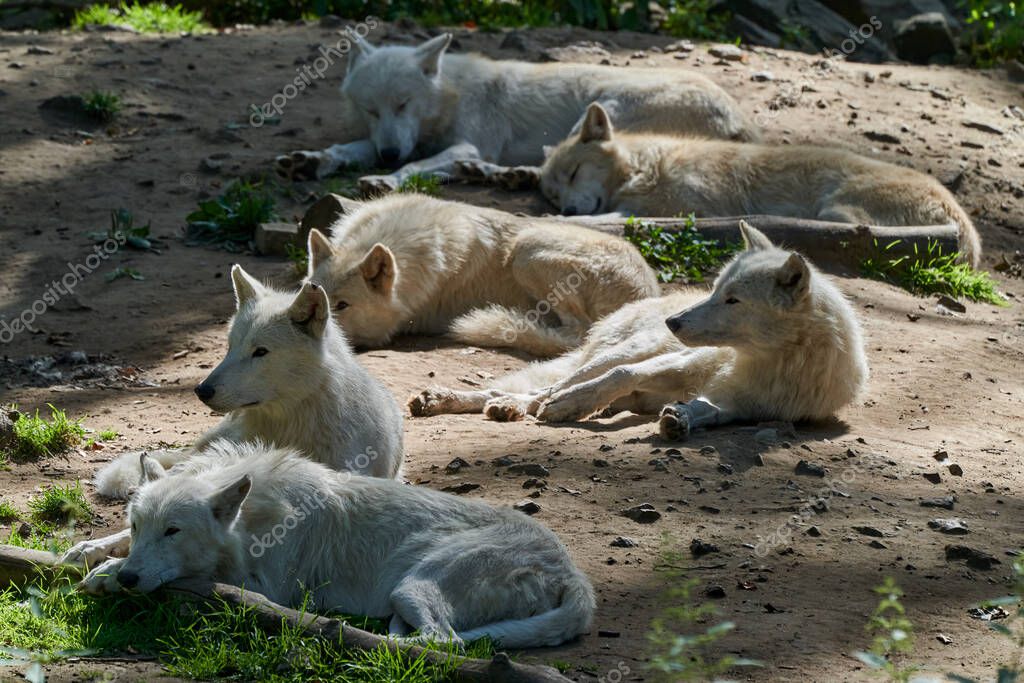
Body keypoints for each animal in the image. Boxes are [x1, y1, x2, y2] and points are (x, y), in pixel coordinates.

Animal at [79, 440, 595, 649]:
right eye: (140, 525)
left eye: (173, 532)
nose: (131, 577)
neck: (254, 520)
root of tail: (573, 572)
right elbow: (111, 546)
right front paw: (93, 559)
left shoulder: (262, 587)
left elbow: (189, 577)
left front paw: (110, 575)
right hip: (406, 595)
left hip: (414, 585)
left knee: (443, 641)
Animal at [274, 31, 758, 193]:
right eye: (371, 109)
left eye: (403, 104)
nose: (389, 155)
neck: (450, 97)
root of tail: (741, 121)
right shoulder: (393, 139)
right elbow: (348, 148)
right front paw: (310, 161)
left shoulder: (467, 142)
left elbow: (417, 166)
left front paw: (387, 179)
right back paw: (501, 176)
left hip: (602, 106)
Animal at [409, 221, 868, 439]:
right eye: (716, 290)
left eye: (733, 300)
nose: (674, 322)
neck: (773, 362)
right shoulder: (677, 361)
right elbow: (617, 376)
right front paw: (567, 407)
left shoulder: (746, 405)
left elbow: (709, 411)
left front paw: (680, 420)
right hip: (621, 349)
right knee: (547, 384)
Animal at [538, 102, 981, 266]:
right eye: (553, 193)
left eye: (575, 173)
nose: (567, 208)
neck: (647, 165)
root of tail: (971, 237)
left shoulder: (687, 209)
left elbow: (611, 220)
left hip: (836, 208)